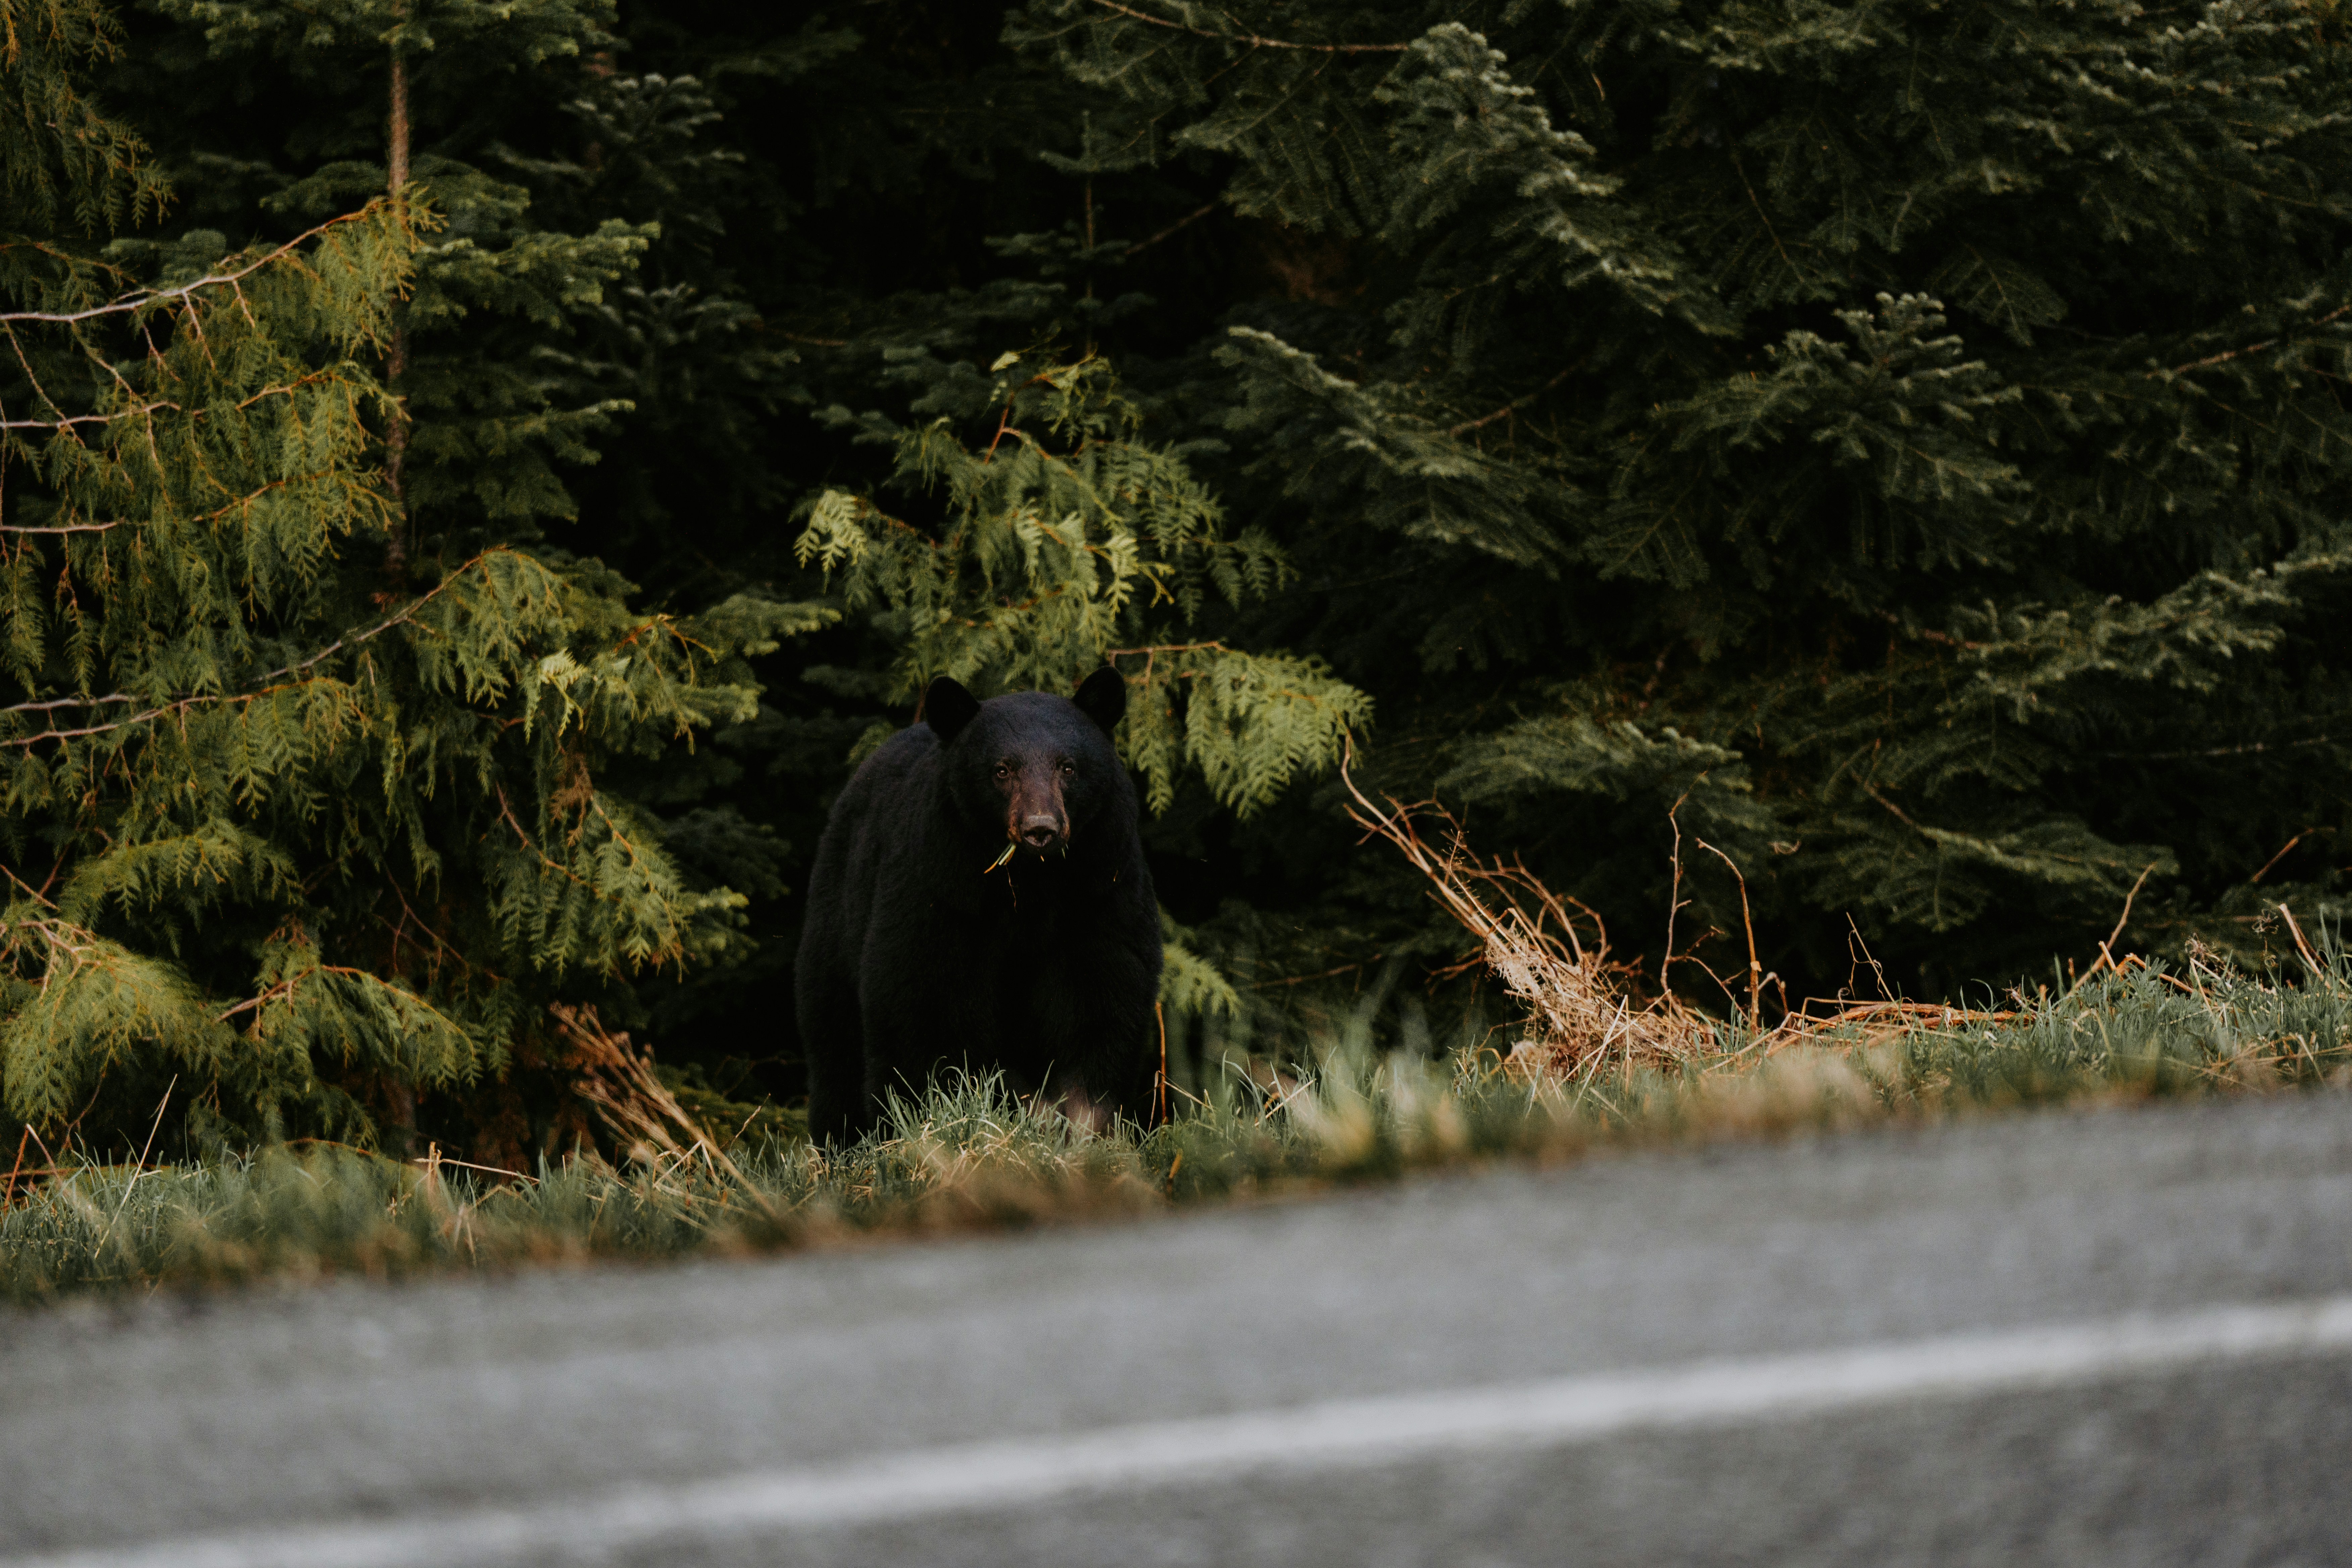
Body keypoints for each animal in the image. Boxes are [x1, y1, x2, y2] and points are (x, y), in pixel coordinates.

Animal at [794, 667, 1164, 1144]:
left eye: (1068, 767)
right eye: (1002, 770)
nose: (1040, 829)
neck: (1032, 884)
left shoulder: (1100, 889)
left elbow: (1101, 997)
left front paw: (1085, 1129)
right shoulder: (943, 887)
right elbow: (925, 1001)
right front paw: (940, 1122)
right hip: (837, 916)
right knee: (834, 1043)